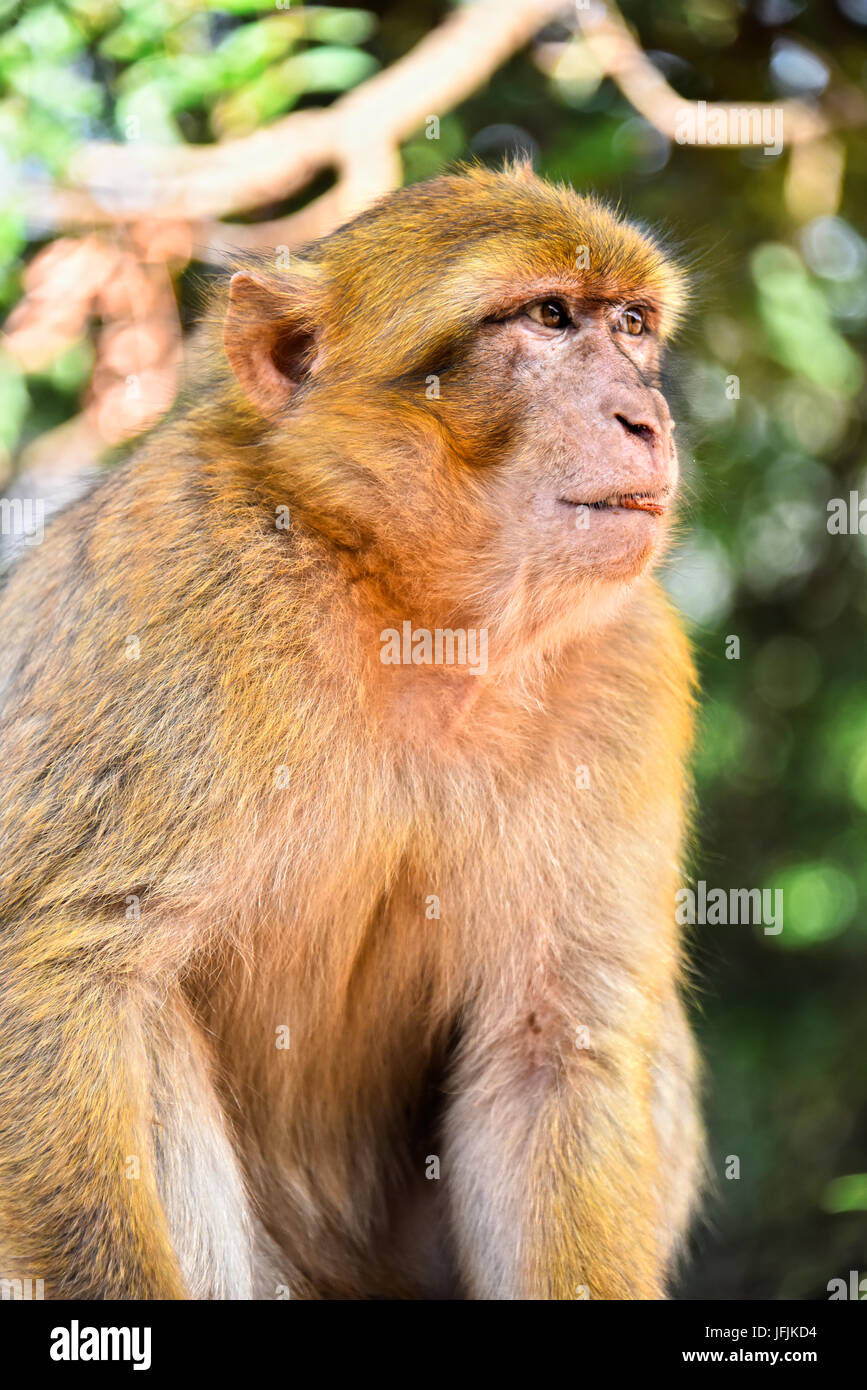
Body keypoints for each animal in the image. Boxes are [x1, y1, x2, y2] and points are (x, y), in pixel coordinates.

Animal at [0, 161, 702, 1301]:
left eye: (632, 324)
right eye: (549, 317)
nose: (645, 415)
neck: (419, 618)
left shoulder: (629, 663)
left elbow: (555, 1046)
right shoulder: (178, 576)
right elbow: (60, 973)